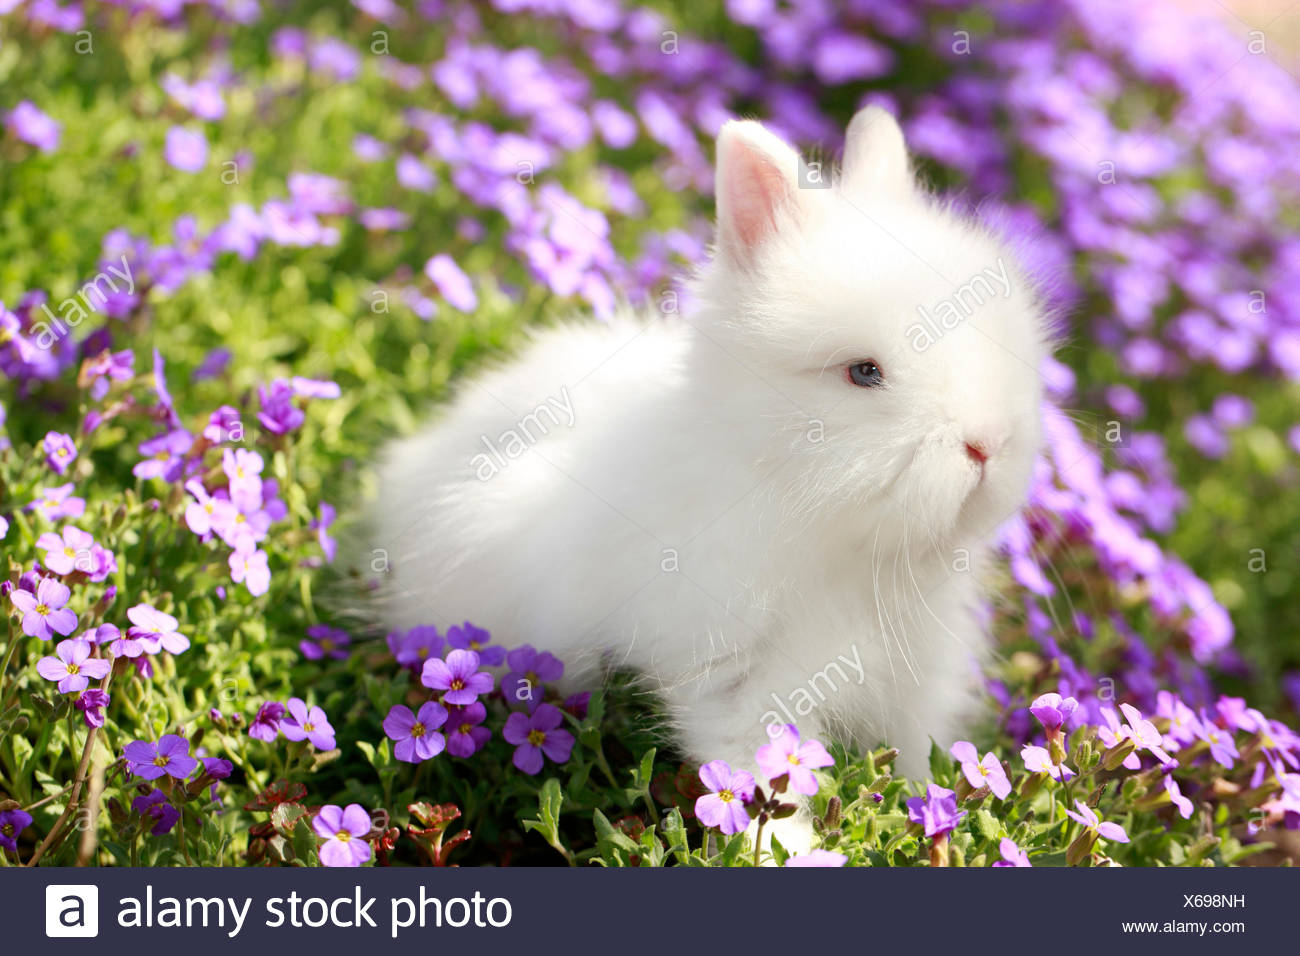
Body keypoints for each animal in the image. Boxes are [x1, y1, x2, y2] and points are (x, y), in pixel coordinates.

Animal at [354, 106, 1052, 856]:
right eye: (863, 372)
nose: (989, 443)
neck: (837, 543)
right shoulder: (735, 679)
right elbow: (762, 772)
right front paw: (800, 854)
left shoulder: (914, 686)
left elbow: (918, 757)